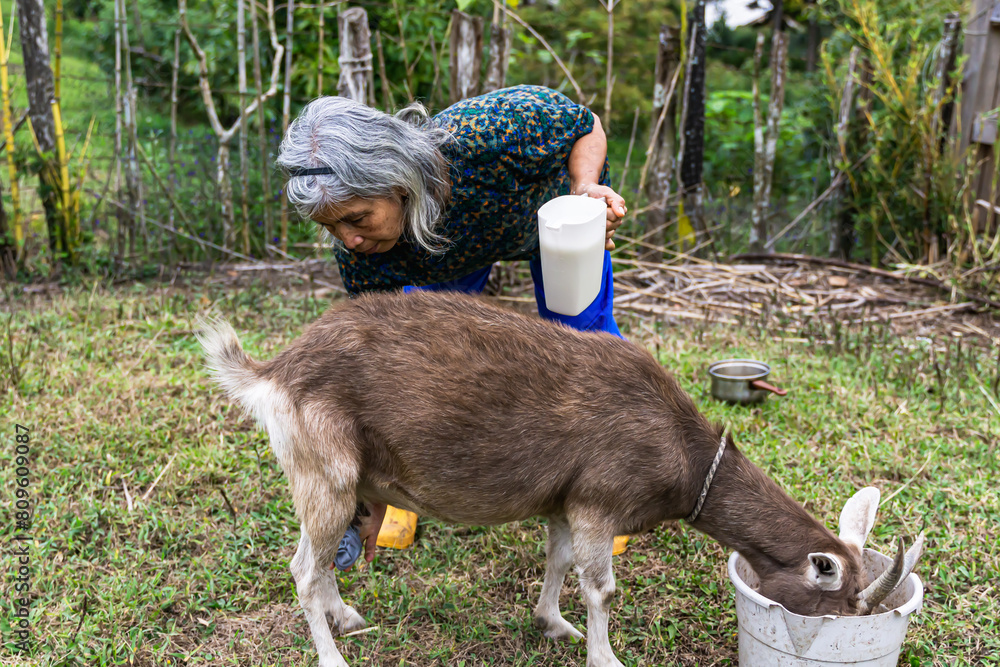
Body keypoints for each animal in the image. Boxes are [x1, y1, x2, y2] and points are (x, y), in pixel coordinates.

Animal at [198, 289, 917, 667]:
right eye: (841, 606)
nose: (849, 632)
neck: (682, 452)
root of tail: (272, 370)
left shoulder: (568, 500)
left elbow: (559, 560)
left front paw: (553, 624)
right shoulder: (602, 499)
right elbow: (602, 587)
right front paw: (605, 656)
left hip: (343, 480)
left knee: (321, 561)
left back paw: (345, 614)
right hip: (325, 467)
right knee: (301, 564)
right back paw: (332, 655)